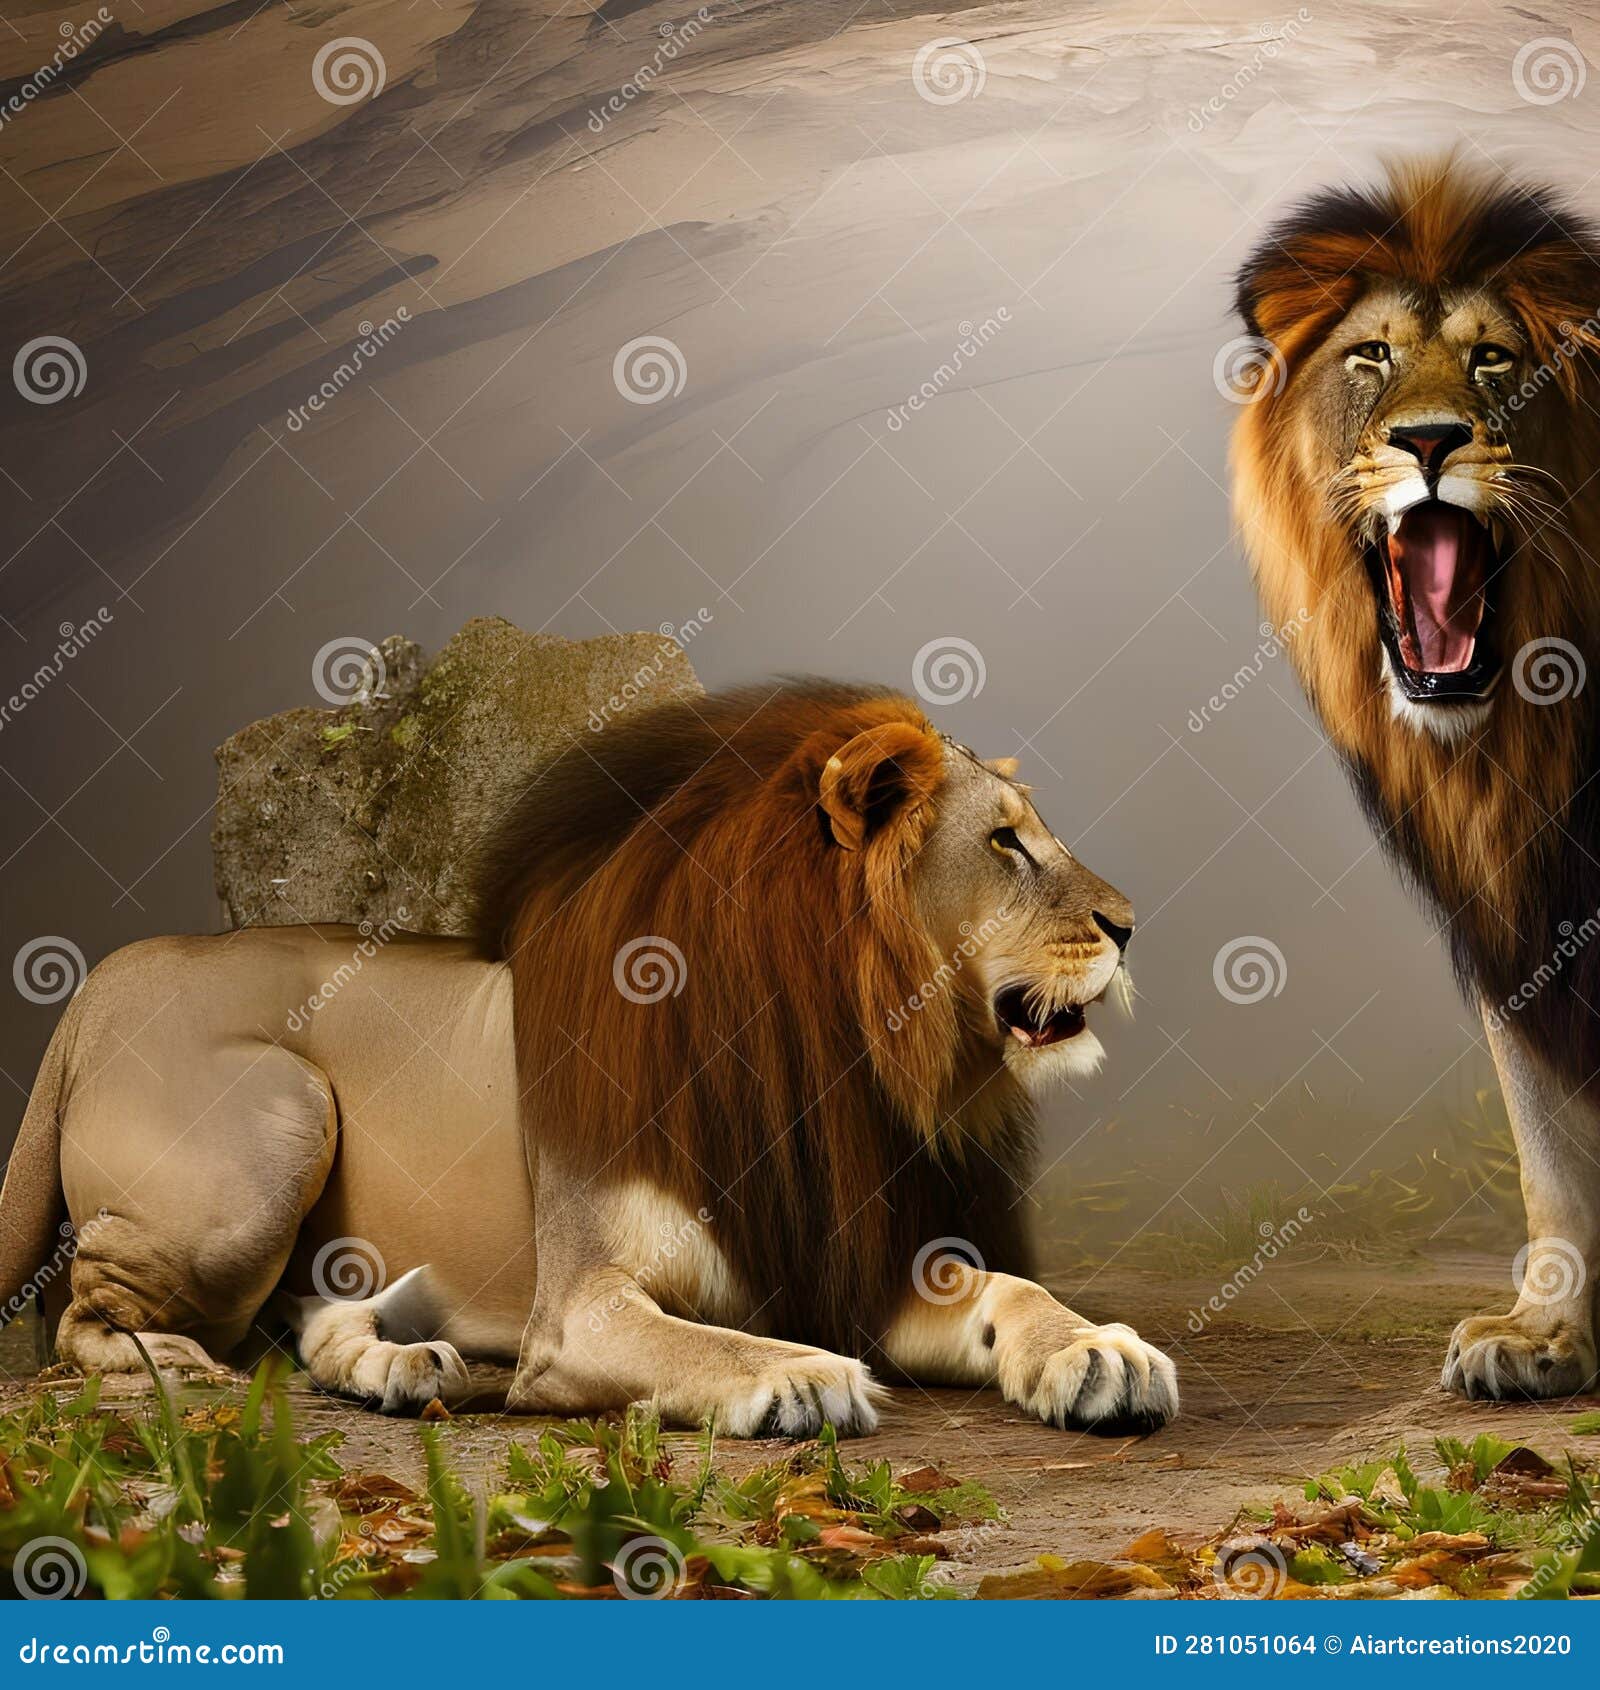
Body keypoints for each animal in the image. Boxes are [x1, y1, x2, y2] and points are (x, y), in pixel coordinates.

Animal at [0, 680, 1176, 1435]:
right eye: (1005, 842)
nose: (1130, 926)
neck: (840, 1049)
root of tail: (107, 976)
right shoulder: (577, 1308)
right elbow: (708, 1343)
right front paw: (799, 1376)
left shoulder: (865, 1265)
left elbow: (1011, 1287)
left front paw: (1097, 1351)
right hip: (280, 1121)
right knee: (78, 1316)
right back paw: (172, 1363)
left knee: (309, 1317)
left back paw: (402, 1366)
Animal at [1232, 155, 1600, 1400]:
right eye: (1370, 356)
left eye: (1494, 357)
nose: (1432, 441)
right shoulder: (1519, 901)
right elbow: (1548, 1141)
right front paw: (1547, 1336)